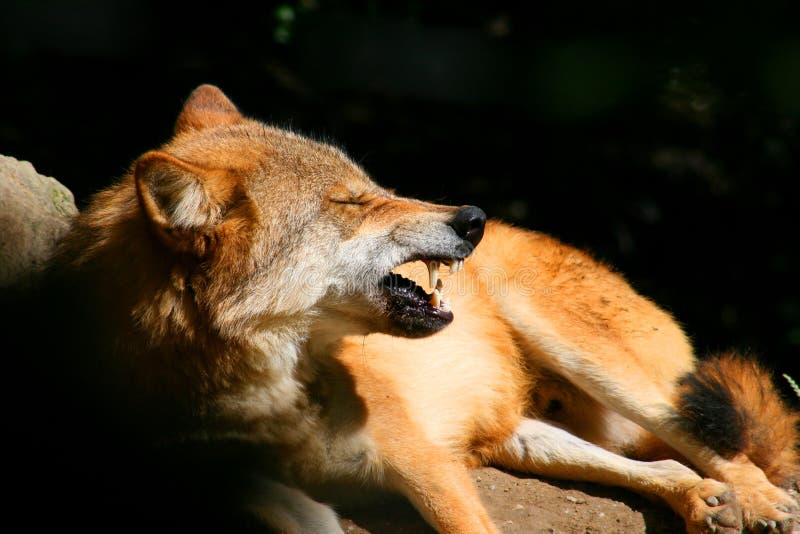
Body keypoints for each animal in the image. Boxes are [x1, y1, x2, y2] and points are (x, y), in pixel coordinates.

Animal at [6, 85, 797, 534]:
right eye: (352, 203)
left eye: (373, 185)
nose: (471, 218)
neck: (264, 388)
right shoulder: (242, 488)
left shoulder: (423, 461)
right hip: (519, 435)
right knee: (659, 467)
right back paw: (706, 506)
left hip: (596, 368)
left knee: (714, 443)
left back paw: (758, 503)